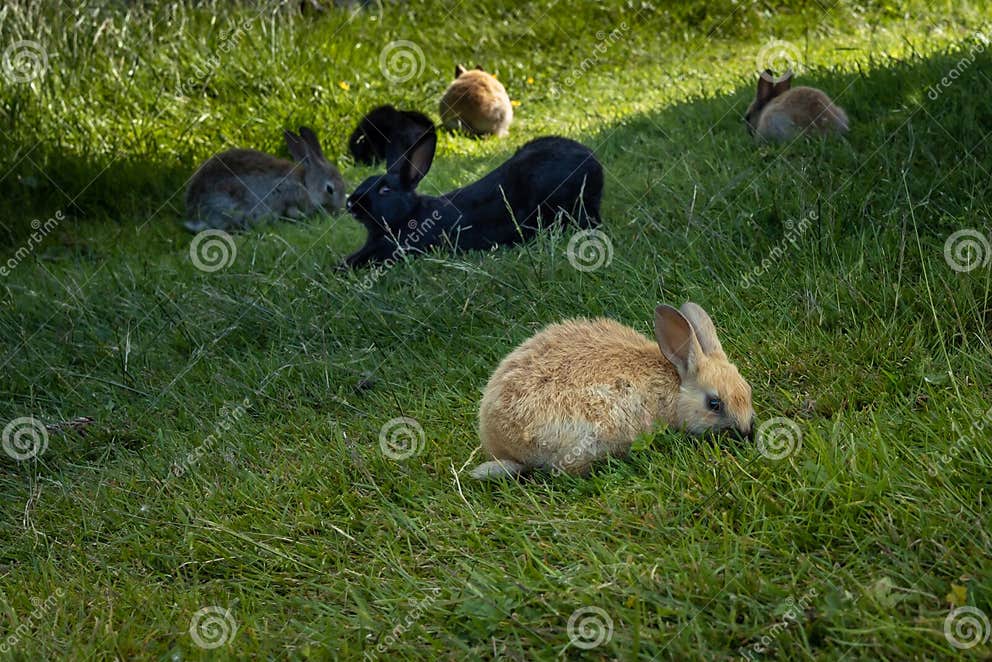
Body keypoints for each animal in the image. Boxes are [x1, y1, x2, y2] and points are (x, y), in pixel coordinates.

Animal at [184, 127, 346, 232]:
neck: (305, 182)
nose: (338, 211)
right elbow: (291, 208)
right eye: (329, 189)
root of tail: (195, 216)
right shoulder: (284, 191)